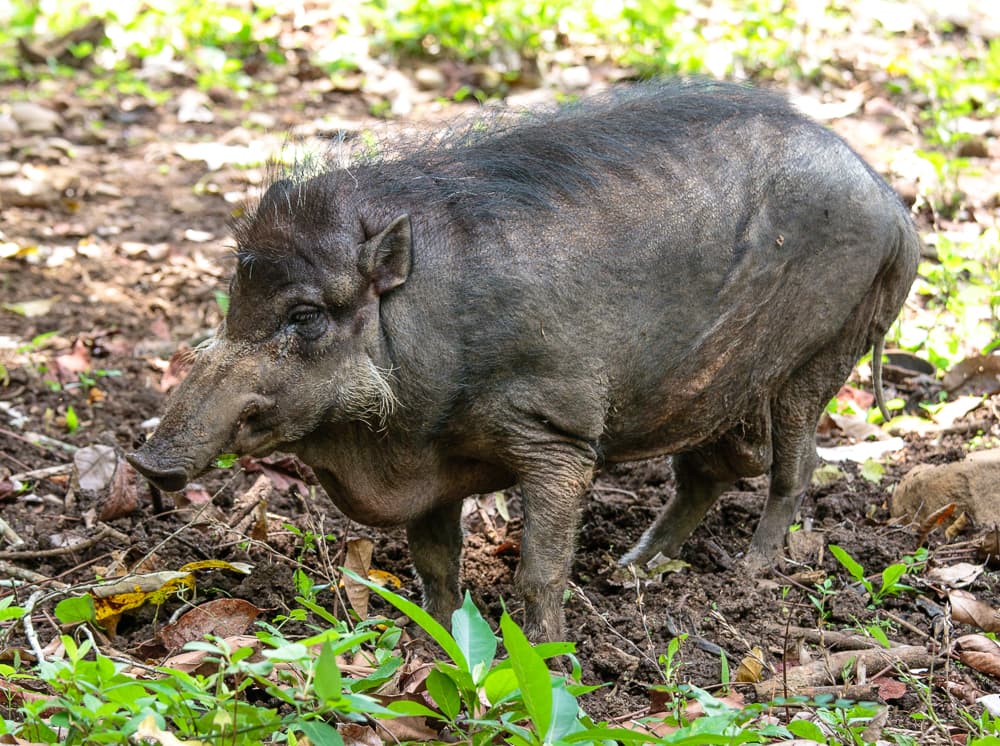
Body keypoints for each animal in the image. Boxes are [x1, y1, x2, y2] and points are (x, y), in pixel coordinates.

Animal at [128, 80, 920, 642]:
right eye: (234, 301)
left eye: (306, 316)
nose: (148, 461)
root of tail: (891, 201)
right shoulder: (429, 470)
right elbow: (435, 567)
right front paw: (440, 643)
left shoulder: (559, 436)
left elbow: (540, 569)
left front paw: (547, 657)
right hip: (713, 389)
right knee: (715, 469)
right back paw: (632, 570)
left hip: (822, 354)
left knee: (795, 464)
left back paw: (749, 573)